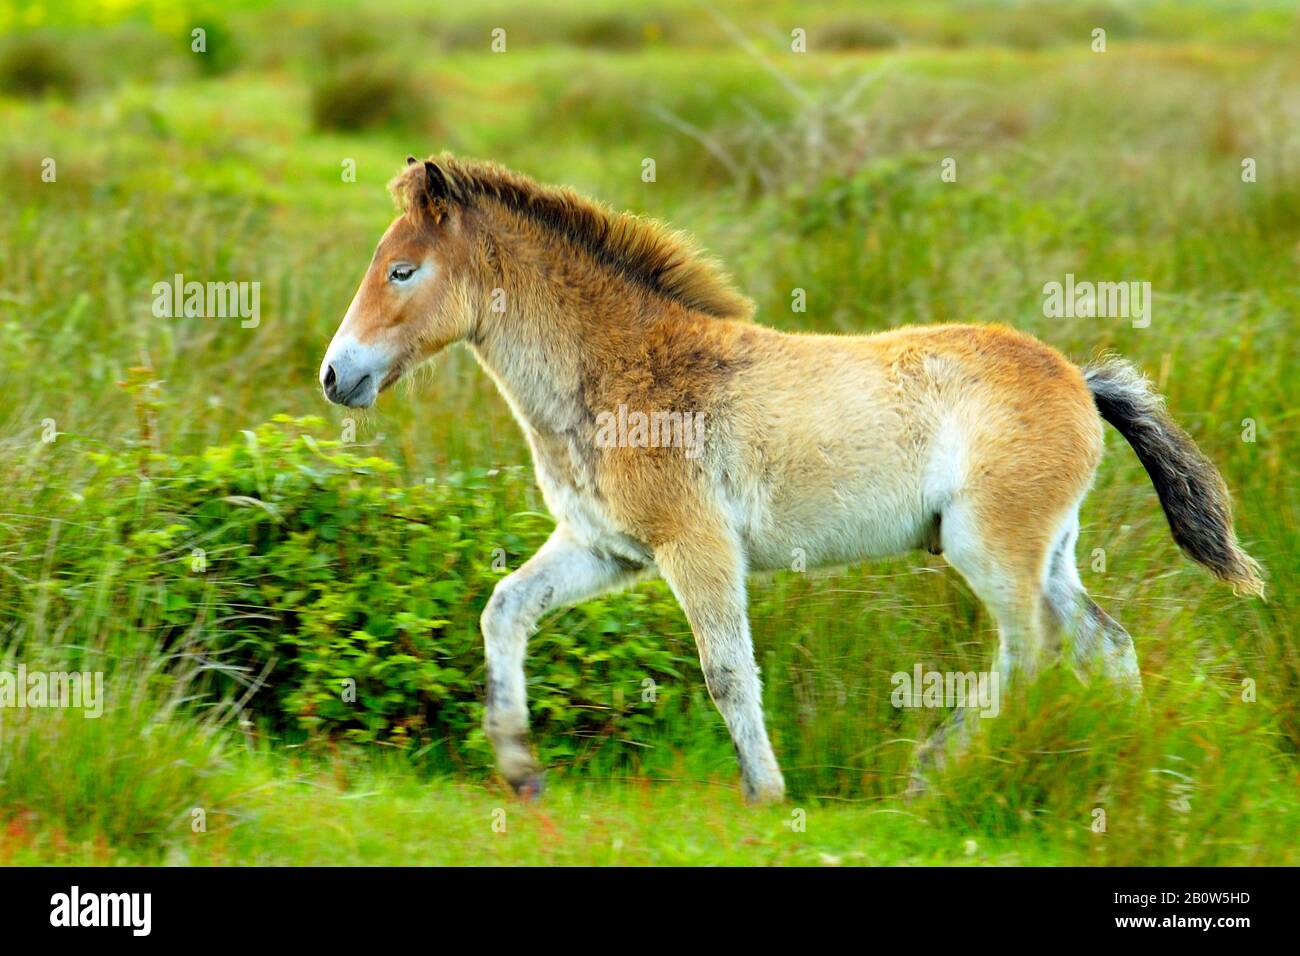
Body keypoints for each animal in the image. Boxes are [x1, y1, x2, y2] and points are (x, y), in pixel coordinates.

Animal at [319, 154, 1263, 803]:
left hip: (990, 547)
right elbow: (505, 608)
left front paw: (766, 792)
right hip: (1051, 552)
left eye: (403, 269)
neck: (621, 369)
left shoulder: (696, 548)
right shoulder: (603, 548)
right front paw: (520, 770)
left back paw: (929, 770)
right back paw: (1130, 764)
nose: (336, 376)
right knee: (1107, 642)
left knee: (1031, 648)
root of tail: (1078, 378)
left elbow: (728, 671)